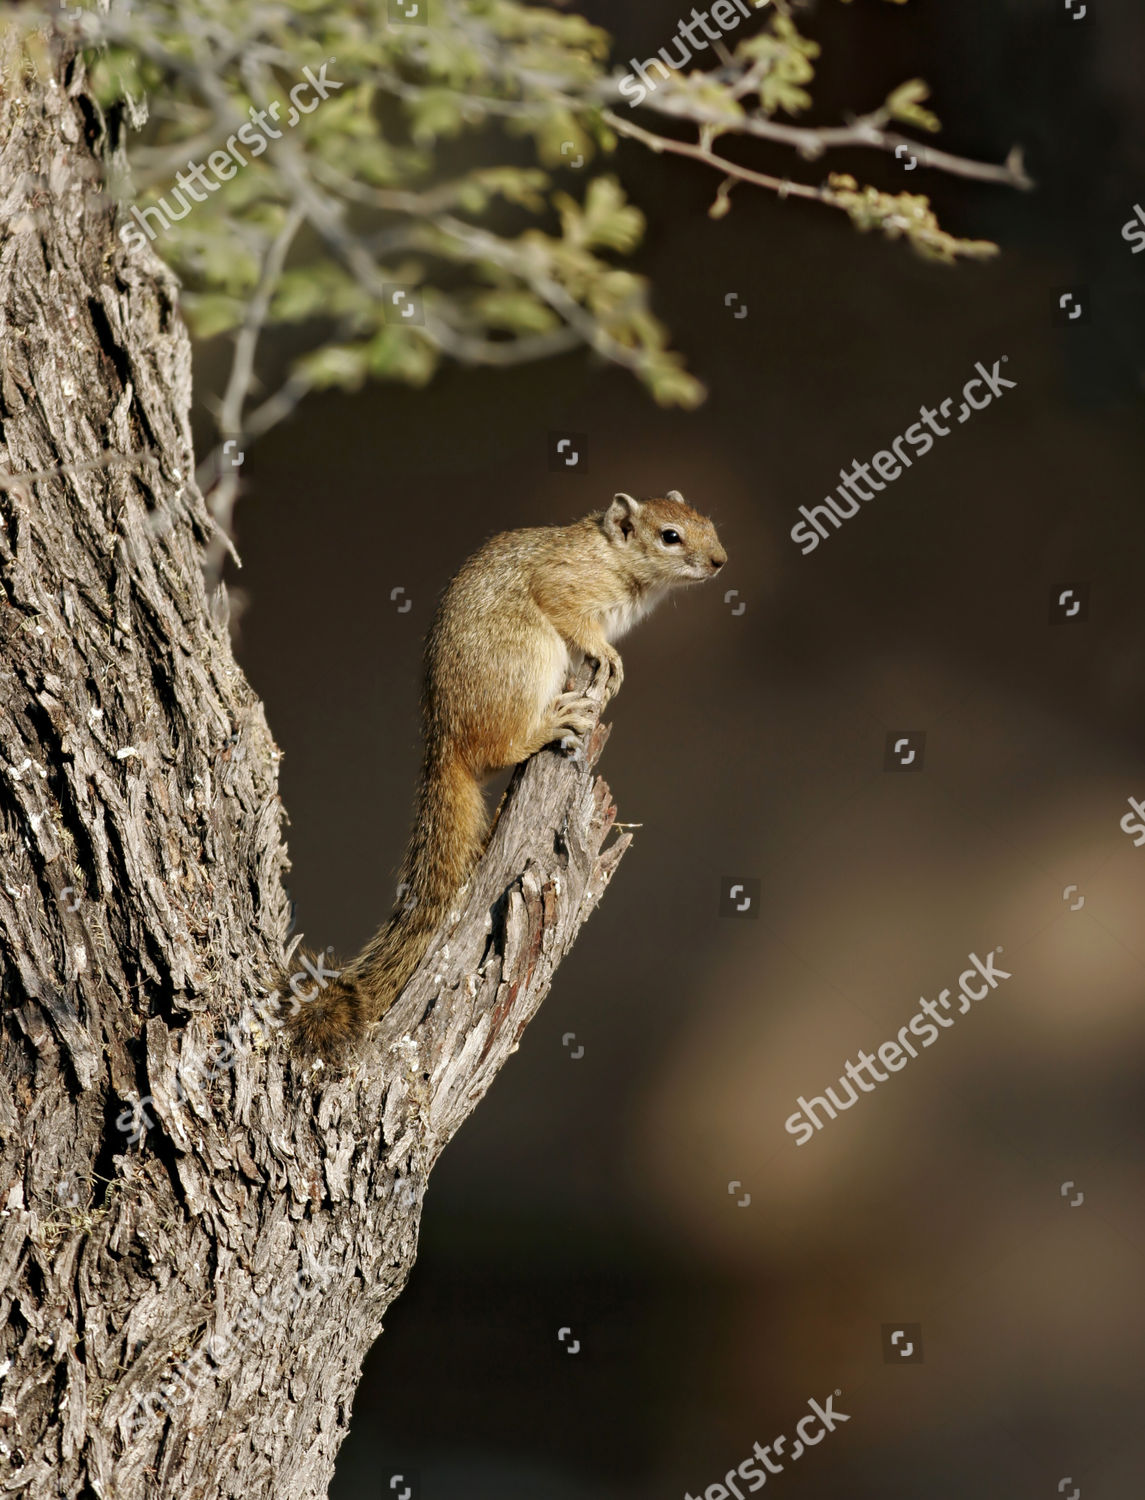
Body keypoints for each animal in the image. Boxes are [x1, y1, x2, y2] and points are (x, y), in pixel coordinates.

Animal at [283, 490, 727, 1059]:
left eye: (707, 521)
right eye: (670, 535)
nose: (720, 561)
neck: (612, 555)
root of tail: (444, 742)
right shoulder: (567, 586)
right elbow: (576, 619)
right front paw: (608, 656)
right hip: (530, 655)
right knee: (504, 744)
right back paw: (553, 721)